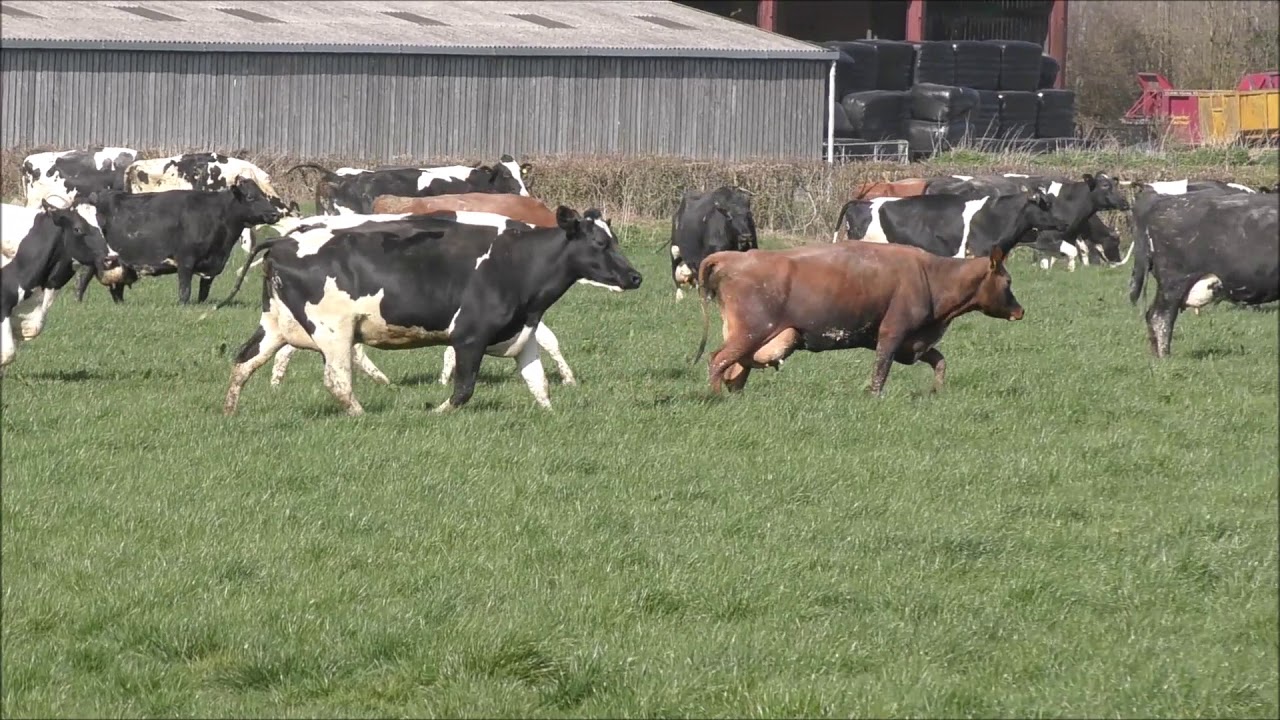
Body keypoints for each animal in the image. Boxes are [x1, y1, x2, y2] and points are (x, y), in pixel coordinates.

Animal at [74, 177, 283, 305]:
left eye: (264, 195)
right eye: (250, 197)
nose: (275, 214)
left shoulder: (212, 266)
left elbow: (204, 292)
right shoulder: (186, 261)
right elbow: (185, 291)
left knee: (115, 288)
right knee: (82, 279)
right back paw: (79, 302)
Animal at [219, 206, 642, 417]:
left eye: (614, 240)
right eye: (601, 243)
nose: (635, 276)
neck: (517, 263)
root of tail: (284, 241)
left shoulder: (523, 336)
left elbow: (539, 385)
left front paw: (551, 416)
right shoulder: (469, 337)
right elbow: (463, 389)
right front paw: (436, 412)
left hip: (275, 326)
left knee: (244, 361)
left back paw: (229, 411)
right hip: (333, 331)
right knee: (338, 381)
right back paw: (362, 416)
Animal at [689, 236, 1026, 396]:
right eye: (1008, 281)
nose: (1021, 310)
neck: (932, 276)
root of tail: (734, 257)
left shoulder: (914, 342)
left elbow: (940, 361)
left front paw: (936, 392)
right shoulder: (893, 333)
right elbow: (880, 372)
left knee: (735, 370)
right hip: (751, 332)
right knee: (718, 361)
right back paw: (716, 397)